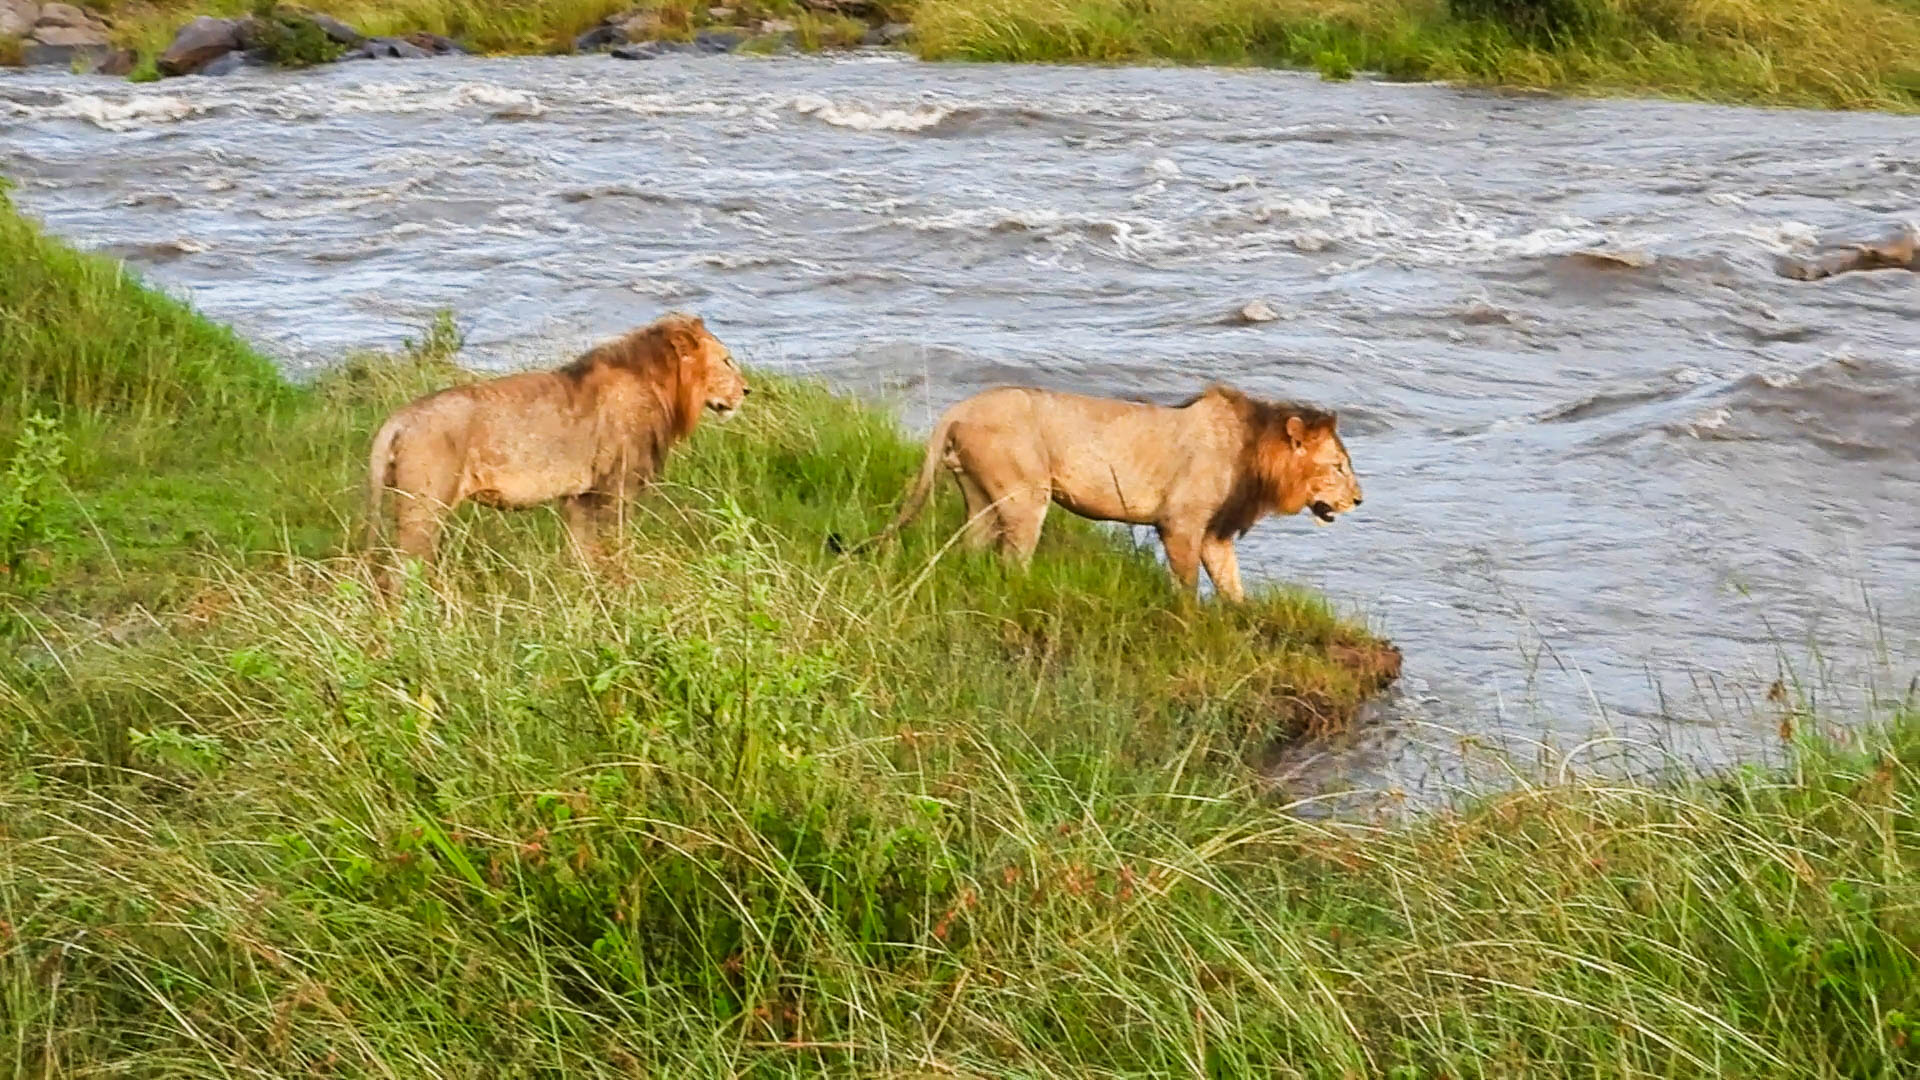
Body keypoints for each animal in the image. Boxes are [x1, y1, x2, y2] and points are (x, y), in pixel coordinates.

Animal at [365, 312, 747, 564]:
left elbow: (584, 554)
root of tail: (399, 418)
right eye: (727, 360)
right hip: (424, 509)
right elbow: (615, 546)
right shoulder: (617, 489)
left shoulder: (581, 497)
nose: (747, 390)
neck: (663, 386)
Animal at [858, 384, 1361, 601]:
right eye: (1338, 465)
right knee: (1011, 561)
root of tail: (959, 408)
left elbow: (1232, 588)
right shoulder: (1181, 524)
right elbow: (1186, 586)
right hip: (1025, 496)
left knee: (971, 549)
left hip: (981, 497)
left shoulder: (1215, 534)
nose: (1359, 499)